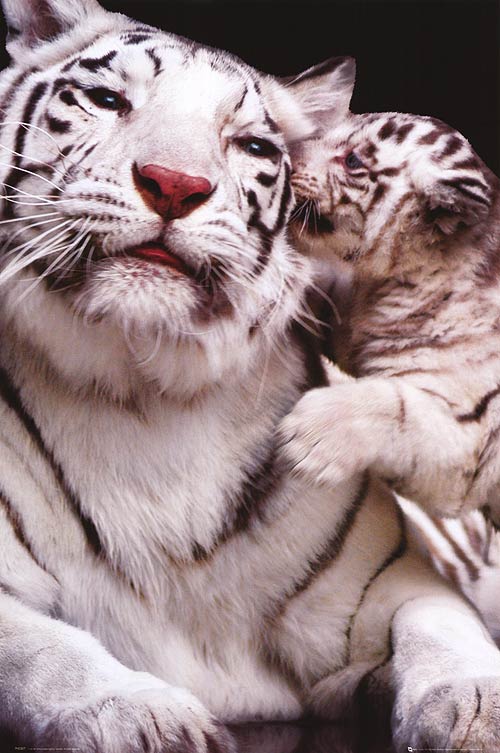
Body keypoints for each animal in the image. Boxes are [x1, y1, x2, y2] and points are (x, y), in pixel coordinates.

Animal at [1, 3, 500, 752]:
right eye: (108, 100)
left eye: (252, 146)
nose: (174, 185)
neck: (146, 390)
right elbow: (42, 648)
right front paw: (140, 713)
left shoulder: (403, 573)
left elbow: (444, 628)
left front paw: (475, 706)